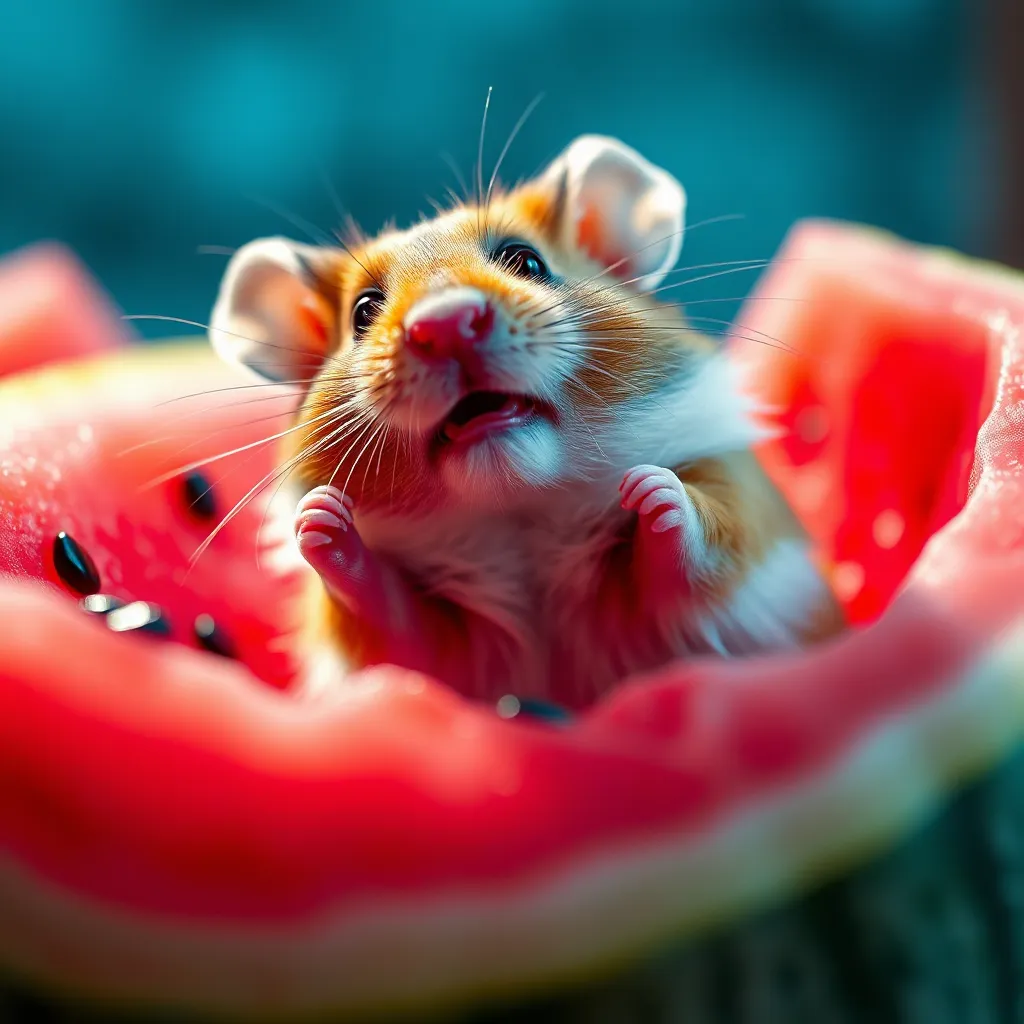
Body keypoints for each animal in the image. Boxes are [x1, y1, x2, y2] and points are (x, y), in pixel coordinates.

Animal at [209, 134, 845, 708]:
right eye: (362, 313)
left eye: (526, 260)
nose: (445, 322)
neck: (518, 510)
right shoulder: (416, 647)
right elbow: (379, 602)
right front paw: (320, 519)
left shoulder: (739, 521)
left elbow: (694, 543)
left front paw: (649, 487)